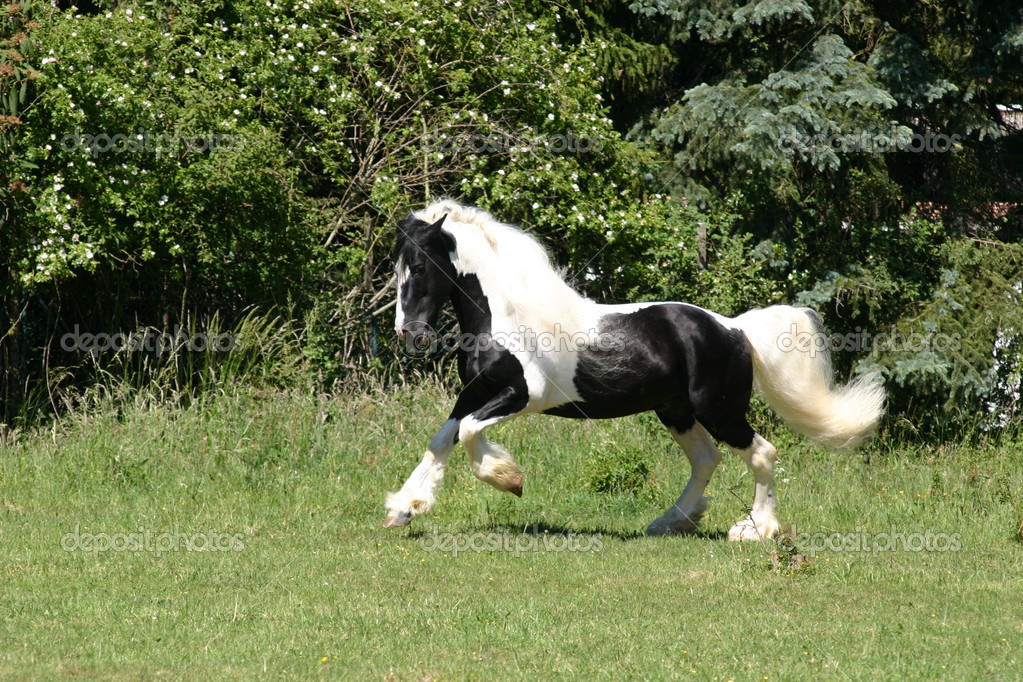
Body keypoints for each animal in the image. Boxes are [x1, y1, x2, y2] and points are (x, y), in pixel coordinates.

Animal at [383, 199, 885, 540]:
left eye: (420, 266)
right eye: (396, 266)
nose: (411, 335)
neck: (505, 316)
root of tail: (735, 328)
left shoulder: (523, 395)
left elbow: (469, 433)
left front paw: (509, 479)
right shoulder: (476, 391)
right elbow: (443, 438)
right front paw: (404, 508)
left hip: (718, 410)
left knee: (761, 452)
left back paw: (754, 529)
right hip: (675, 411)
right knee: (707, 459)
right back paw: (671, 521)